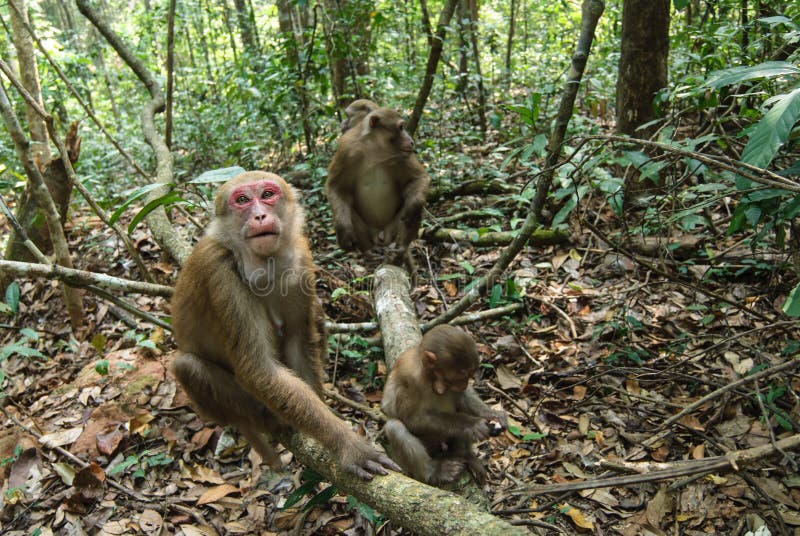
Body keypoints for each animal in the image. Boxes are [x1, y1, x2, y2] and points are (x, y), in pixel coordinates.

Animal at [171, 171, 399, 480]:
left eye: (268, 195)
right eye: (242, 200)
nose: (260, 215)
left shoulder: (301, 261)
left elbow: (298, 338)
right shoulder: (219, 272)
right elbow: (259, 369)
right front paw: (348, 444)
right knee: (187, 366)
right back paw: (268, 420)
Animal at [326, 103, 430, 268]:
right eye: (401, 128)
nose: (411, 140)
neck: (374, 148)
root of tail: (381, 237)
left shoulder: (404, 154)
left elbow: (418, 179)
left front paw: (413, 205)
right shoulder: (346, 148)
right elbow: (336, 187)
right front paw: (343, 229)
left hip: (391, 230)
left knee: (415, 208)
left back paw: (400, 251)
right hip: (370, 233)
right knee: (348, 209)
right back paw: (368, 253)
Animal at [381, 325, 507, 485]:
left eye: (468, 377)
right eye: (456, 378)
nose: (463, 385)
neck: (427, 376)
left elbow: (462, 398)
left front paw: (493, 414)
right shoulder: (409, 379)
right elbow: (412, 419)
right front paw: (472, 425)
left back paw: (464, 455)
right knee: (395, 427)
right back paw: (434, 472)